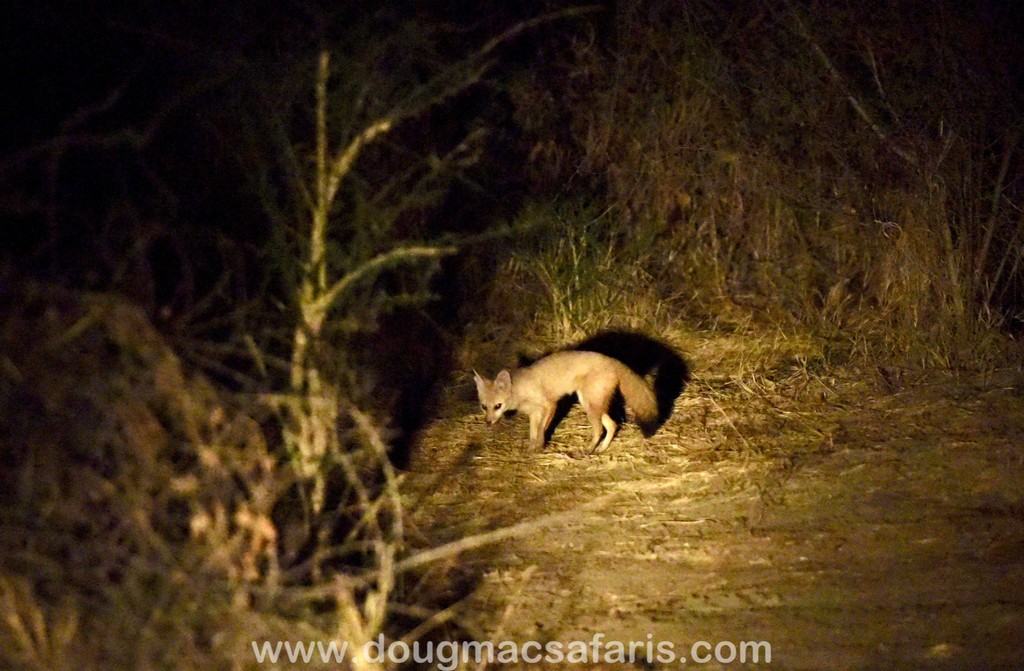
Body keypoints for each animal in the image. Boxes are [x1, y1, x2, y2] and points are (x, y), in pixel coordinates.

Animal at [473, 350, 658, 454]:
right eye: (484, 407)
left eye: (497, 406)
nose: (488, 422)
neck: (520, 389)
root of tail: (612, 360)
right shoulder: (534, 413)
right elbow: (533, 433)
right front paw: (531, 450)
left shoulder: (549, 405)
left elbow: (541, 430)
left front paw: (540, 446)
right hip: (592, 405)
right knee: (612, 425)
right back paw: (601, 450)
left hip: (589, 406)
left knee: (599, 430)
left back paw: (589, 450)